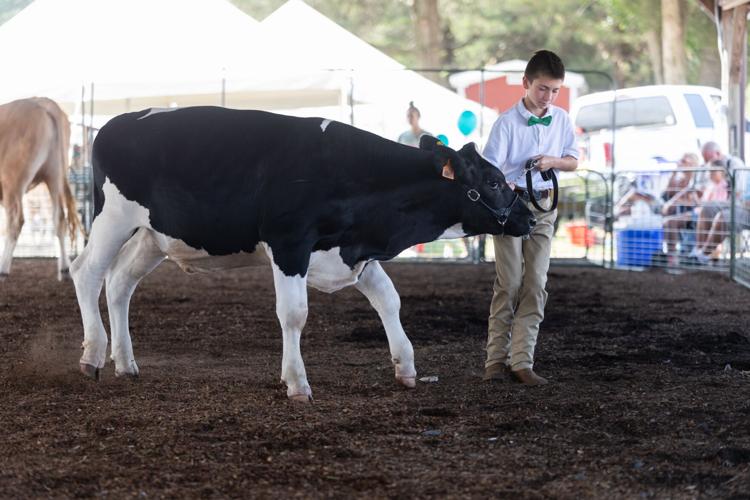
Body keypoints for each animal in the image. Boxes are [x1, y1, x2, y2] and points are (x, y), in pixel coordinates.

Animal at [0, 97, 81, 281]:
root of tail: (43, 103)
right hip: (54, 175)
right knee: (59, 218)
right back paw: (65, 269)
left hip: (13, 181)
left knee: (15, 221)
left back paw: (3, 269)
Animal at [70, 107, 535, 402]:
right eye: (494, 181)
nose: (529, 216)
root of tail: (116, 123)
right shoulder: (289, 242)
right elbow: (294, 314)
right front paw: (297, 383)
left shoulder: (352, 251)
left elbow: (389, 300)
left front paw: (405, 367)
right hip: (113, 216)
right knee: (86, 272)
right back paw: (92, 356)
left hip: (153, 236)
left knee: (120, 283)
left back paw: (125, 363)